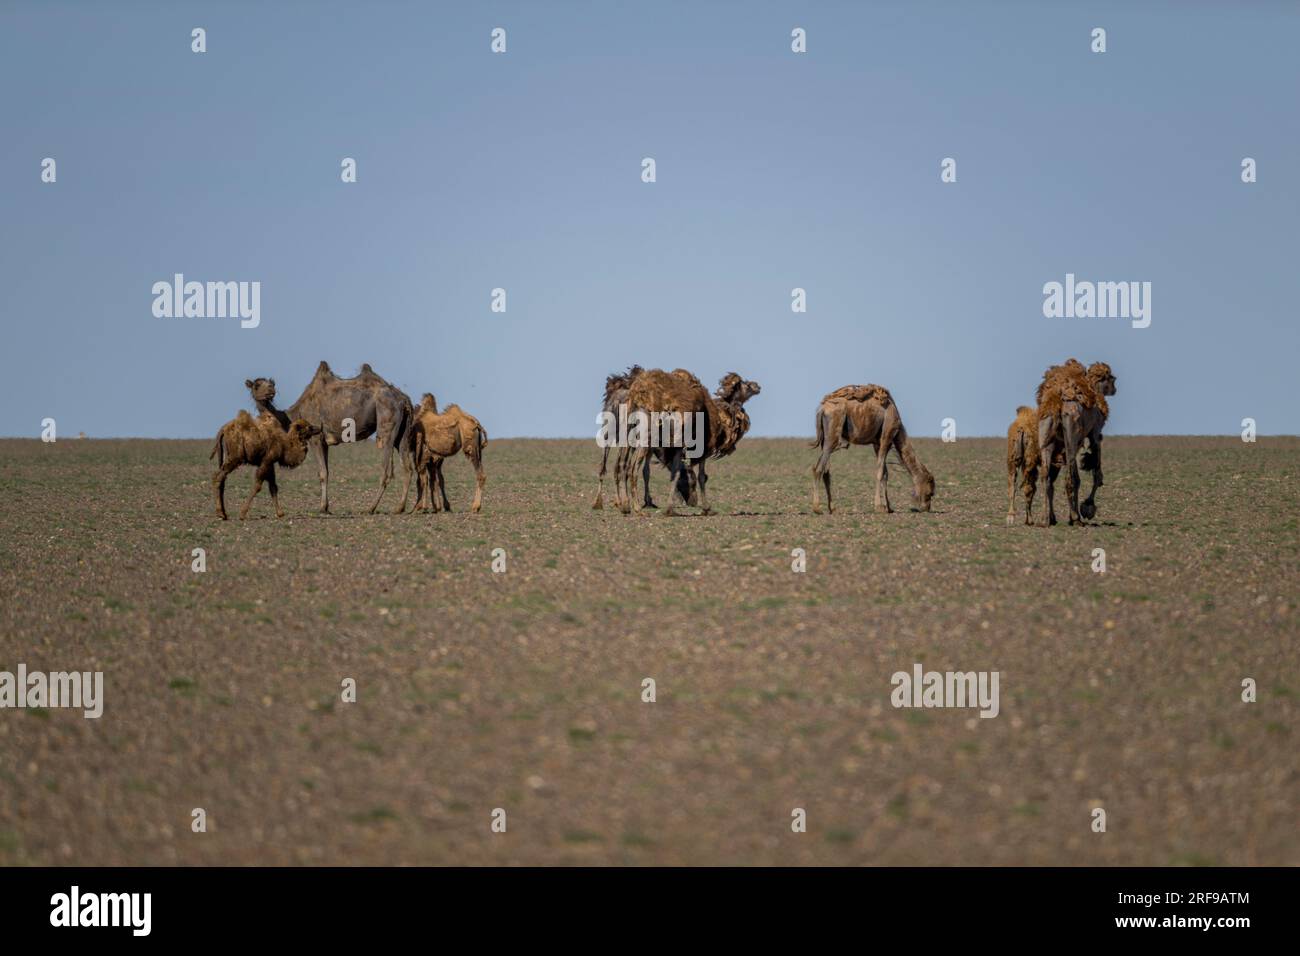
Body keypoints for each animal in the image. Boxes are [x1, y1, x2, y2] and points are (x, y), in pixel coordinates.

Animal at [245, 362, 414, 515]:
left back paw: (370, 508)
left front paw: (322, 508)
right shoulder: (324, 442)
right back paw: (399, 508)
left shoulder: (315, 437)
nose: (270, 390)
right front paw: (326, 507)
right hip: (402, 432)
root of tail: (404, 398)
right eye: (257, 385)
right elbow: (327, 472)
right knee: (407, 467)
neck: (293, 416)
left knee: (385, 469)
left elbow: (322, 473)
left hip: (387, 420)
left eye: (270, 383)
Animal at [810, 384, 935, 515]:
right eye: (930, 493)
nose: (926, 508)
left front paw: (888, 508)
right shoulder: (887, 436)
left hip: (825, 439)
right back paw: (817, 508)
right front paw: (879, 507)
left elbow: (885, 473)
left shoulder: (877, 444)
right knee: (818, 468)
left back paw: (832, 508)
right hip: (833, 435)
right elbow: (880, 472)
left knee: (825, 471)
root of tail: (822, 410)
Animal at [1034, 360, 1117, 526]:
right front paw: (1088, 508)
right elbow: (1097, 474)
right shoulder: (1095, 432)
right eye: (1112, 379)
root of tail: (1057, 400)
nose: (1114, 389)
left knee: (1046, 475)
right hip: (1071, 438)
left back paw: (1045, 518)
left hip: (1046, 433)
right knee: (1070, 478)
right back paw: (1075, 518)